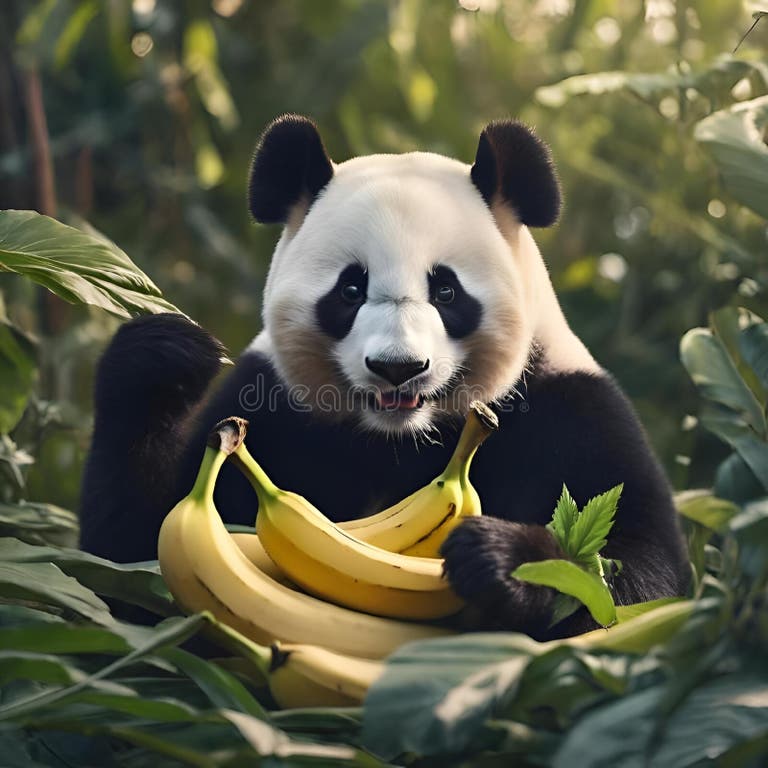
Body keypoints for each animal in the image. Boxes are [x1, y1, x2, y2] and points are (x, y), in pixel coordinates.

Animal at [79, 114, 689, 640]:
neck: (397, 442)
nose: (399, 368)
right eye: (351, 289)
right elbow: (127, 565)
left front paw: (506, 562)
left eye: (446, 291)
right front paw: (164, 356)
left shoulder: (568, 406)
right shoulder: (271, 400)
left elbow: (638, 574)